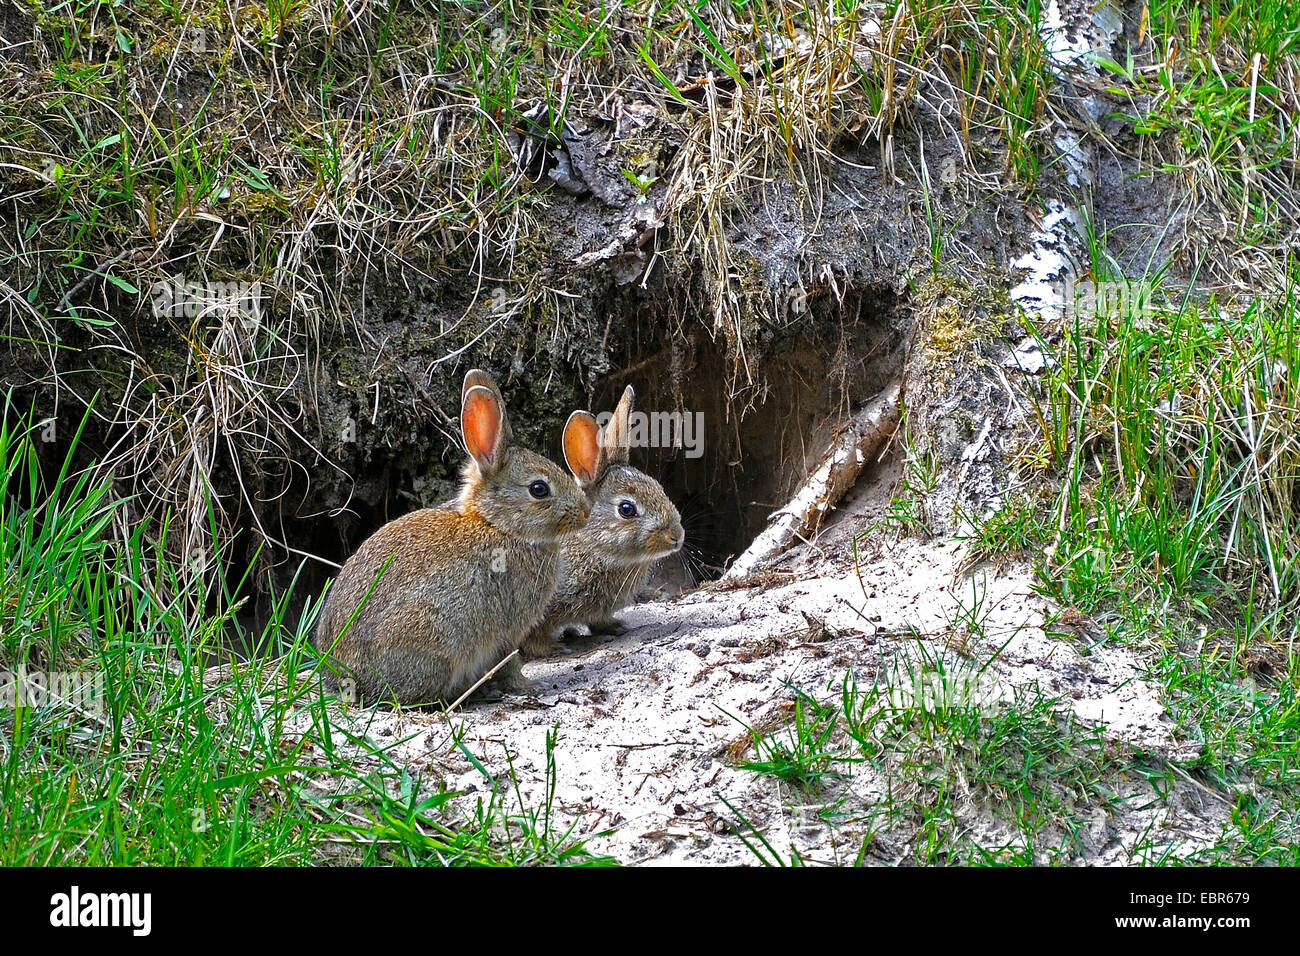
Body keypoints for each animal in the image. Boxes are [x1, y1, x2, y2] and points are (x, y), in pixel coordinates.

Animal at [313, 369, 593, 705]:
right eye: (539, 489)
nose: (584, 511)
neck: (497, 525)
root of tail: (346, 681)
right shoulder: (508, 629)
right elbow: (510, 661)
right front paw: (529, 686)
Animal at [521, 385, 684, 657]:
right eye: (627, 509)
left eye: (659, 487)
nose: (677, 536)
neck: (591, 547)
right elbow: (534, 635)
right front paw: (554, 648)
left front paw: (616, 627)